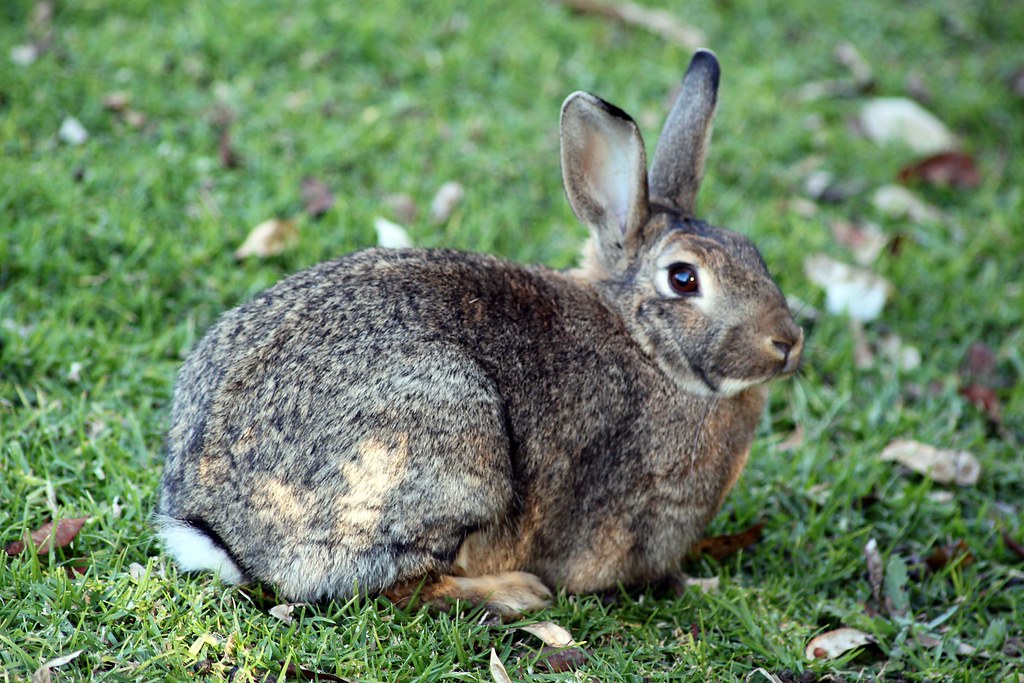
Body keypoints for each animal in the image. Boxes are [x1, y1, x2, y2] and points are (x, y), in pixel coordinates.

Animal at [156, 49, 803, 617]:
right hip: (450, 449)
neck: (645, 346)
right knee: (385, 586)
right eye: (684, 278)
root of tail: (216, 521)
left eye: (755, 253)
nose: (788, 342)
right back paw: (513, 593)